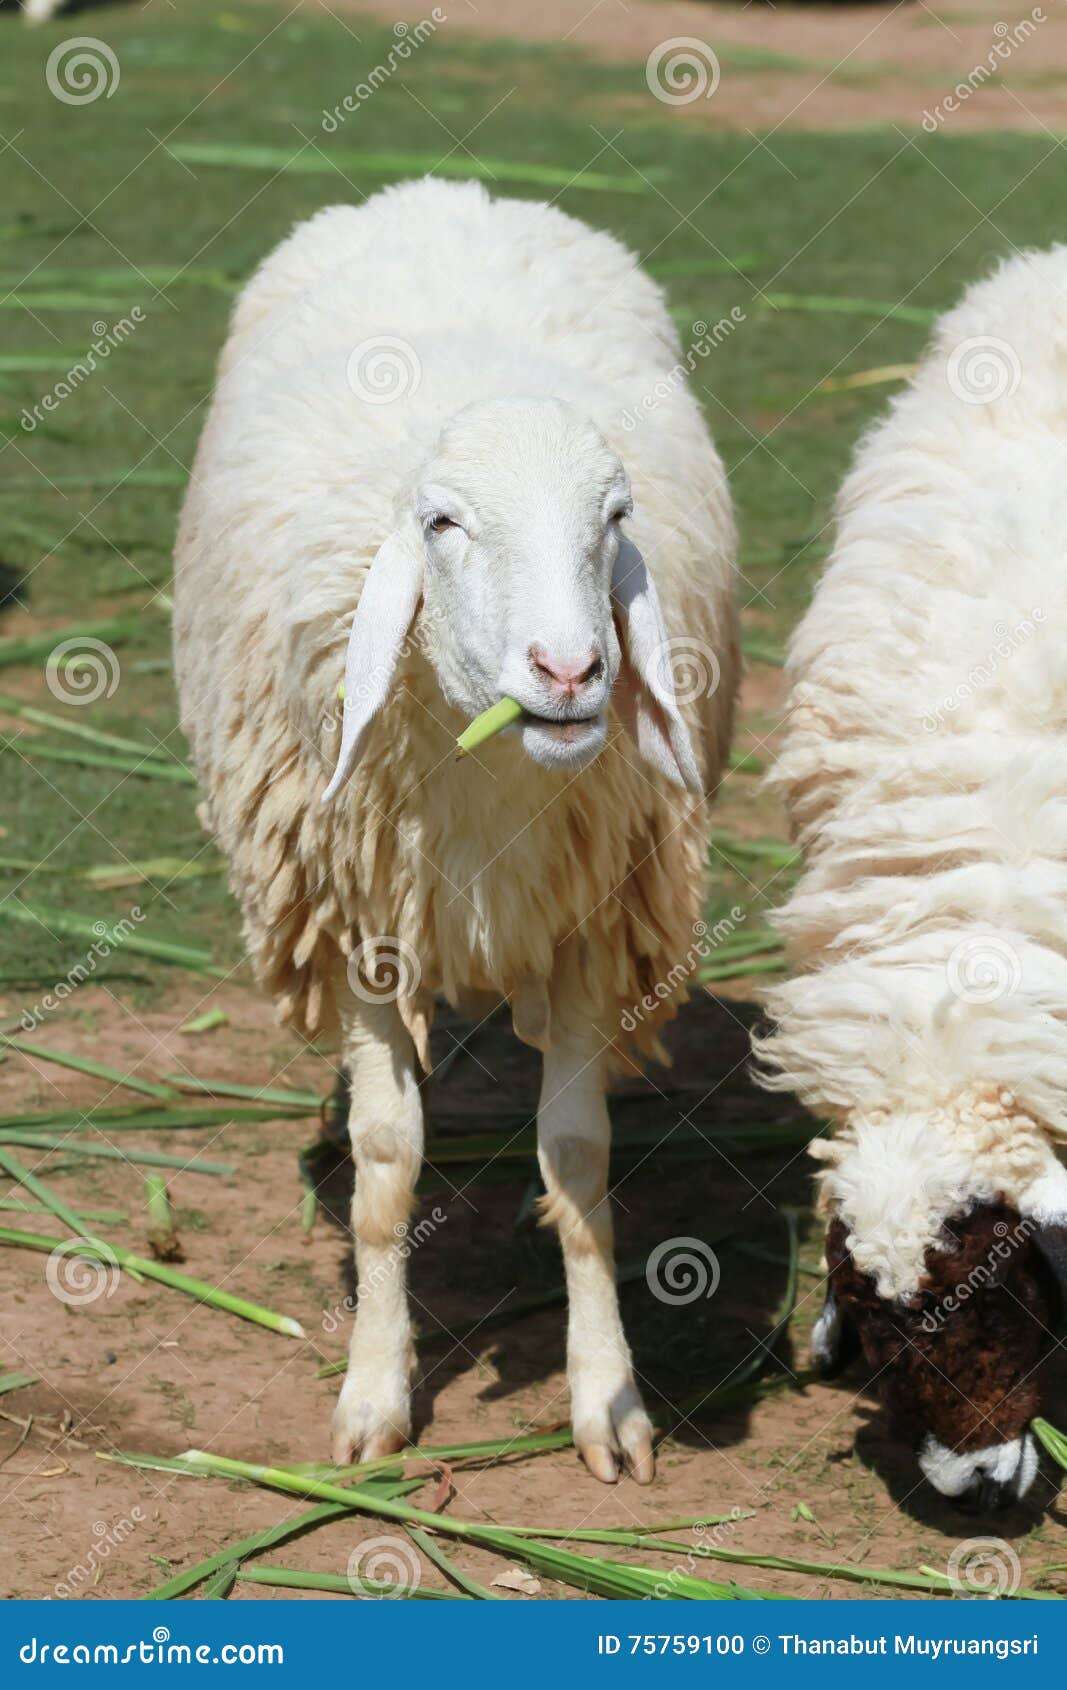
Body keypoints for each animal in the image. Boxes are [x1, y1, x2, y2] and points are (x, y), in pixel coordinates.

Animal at [173, 177, 739, 1482]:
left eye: (613, 514)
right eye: (440, 522)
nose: (571, 671)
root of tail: (444, 189)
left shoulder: (589, 921)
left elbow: (578, 1163)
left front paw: (606, 1397)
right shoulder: (361, 916)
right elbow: (386, 1170)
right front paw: (375, 1391)